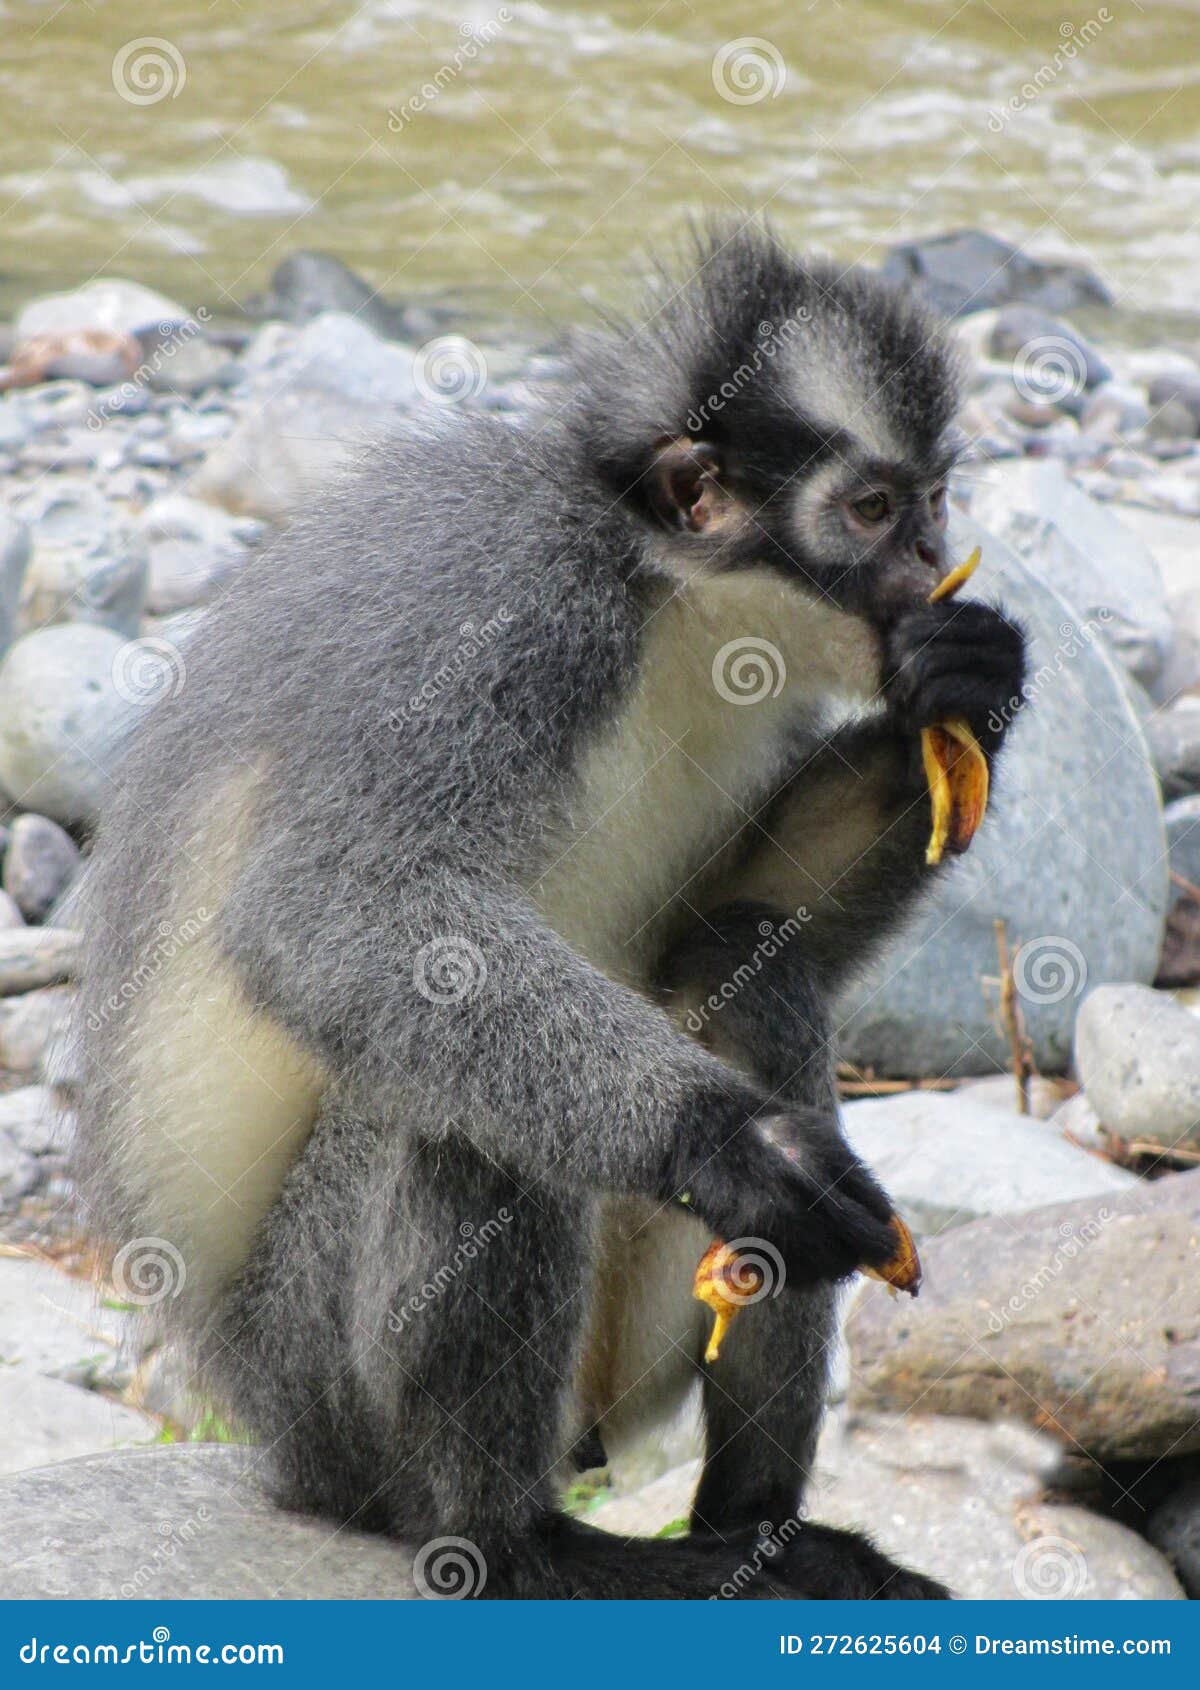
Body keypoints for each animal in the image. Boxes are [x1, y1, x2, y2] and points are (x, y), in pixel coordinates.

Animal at [74, 222, 1026, 1600]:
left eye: (934, 502)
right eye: (871, 510)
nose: (921, 568)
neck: (668, 591)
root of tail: (263, 1420)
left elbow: (746, 917)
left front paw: (965, 691)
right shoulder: (521, 607)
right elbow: (325, 907)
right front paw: (731, 1144)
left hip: (617, 1374)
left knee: (744, 969)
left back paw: (753, 1527)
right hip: (321, 1387)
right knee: (468, 1126)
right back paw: (511, 1538)